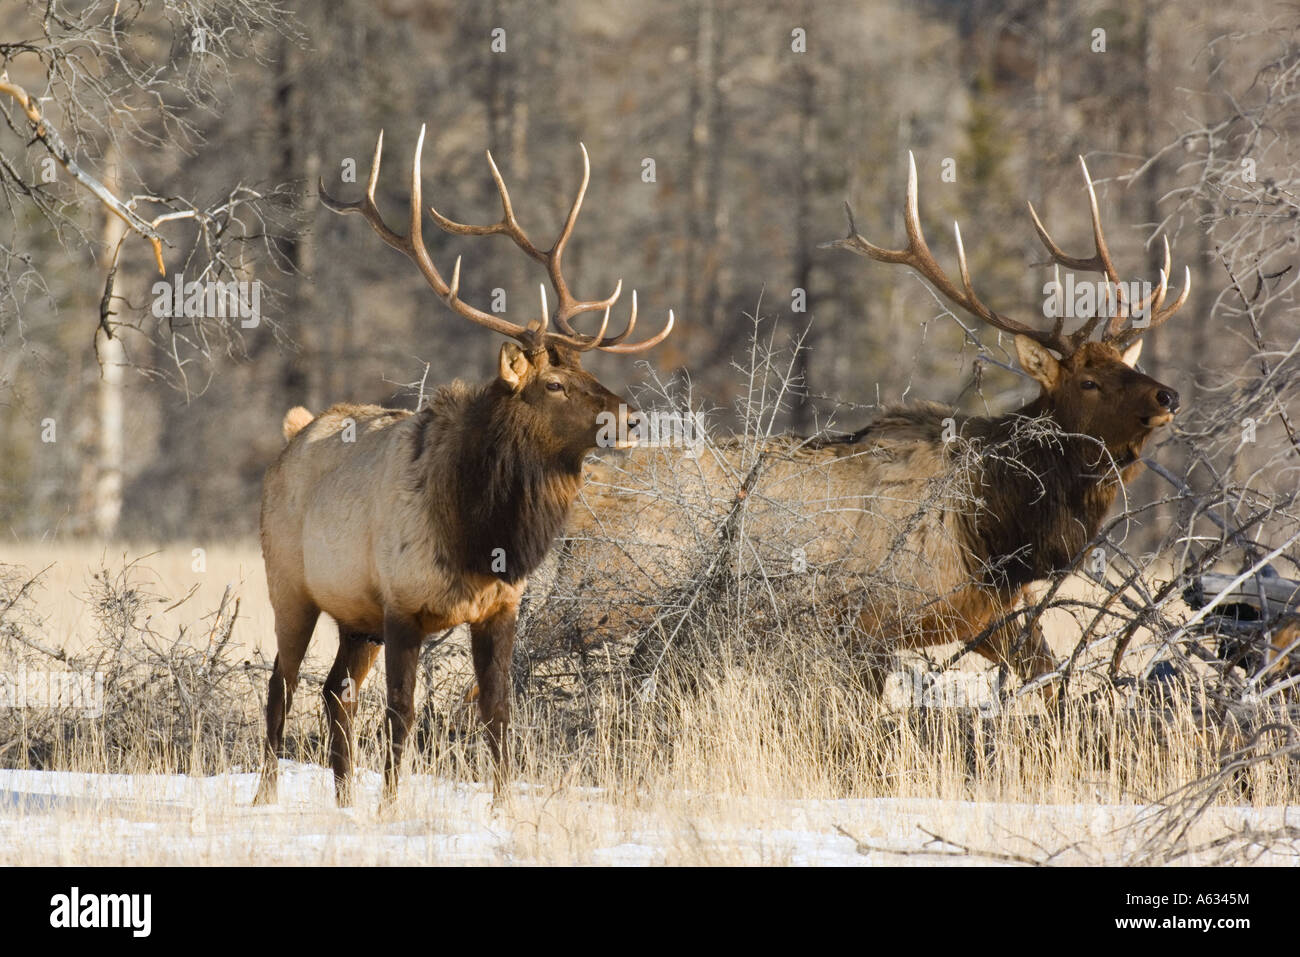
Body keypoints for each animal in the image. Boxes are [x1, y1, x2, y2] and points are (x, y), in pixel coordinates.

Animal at [253, 126, 673, 809]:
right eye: (554, 384)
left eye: (586, 370)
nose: (631, 419)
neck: (481, 536)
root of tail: (295, 431)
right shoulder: (402, 607)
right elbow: (402, 714)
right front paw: (391, 804)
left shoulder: (499, 608)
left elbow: (499, 710)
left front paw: (501, 804)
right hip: (290, 585)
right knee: (283, 686)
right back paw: (266, 796)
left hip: (354, 618)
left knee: (335, 692)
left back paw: (342, 800)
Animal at [529, 154, 1188, 701]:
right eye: (1089, 381)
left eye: (1127, 363)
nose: (1169, 394)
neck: (995, 530)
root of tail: (589, 487)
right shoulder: (866, 624)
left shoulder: (991, 618)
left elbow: (1052, 686)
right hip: (607, 590)